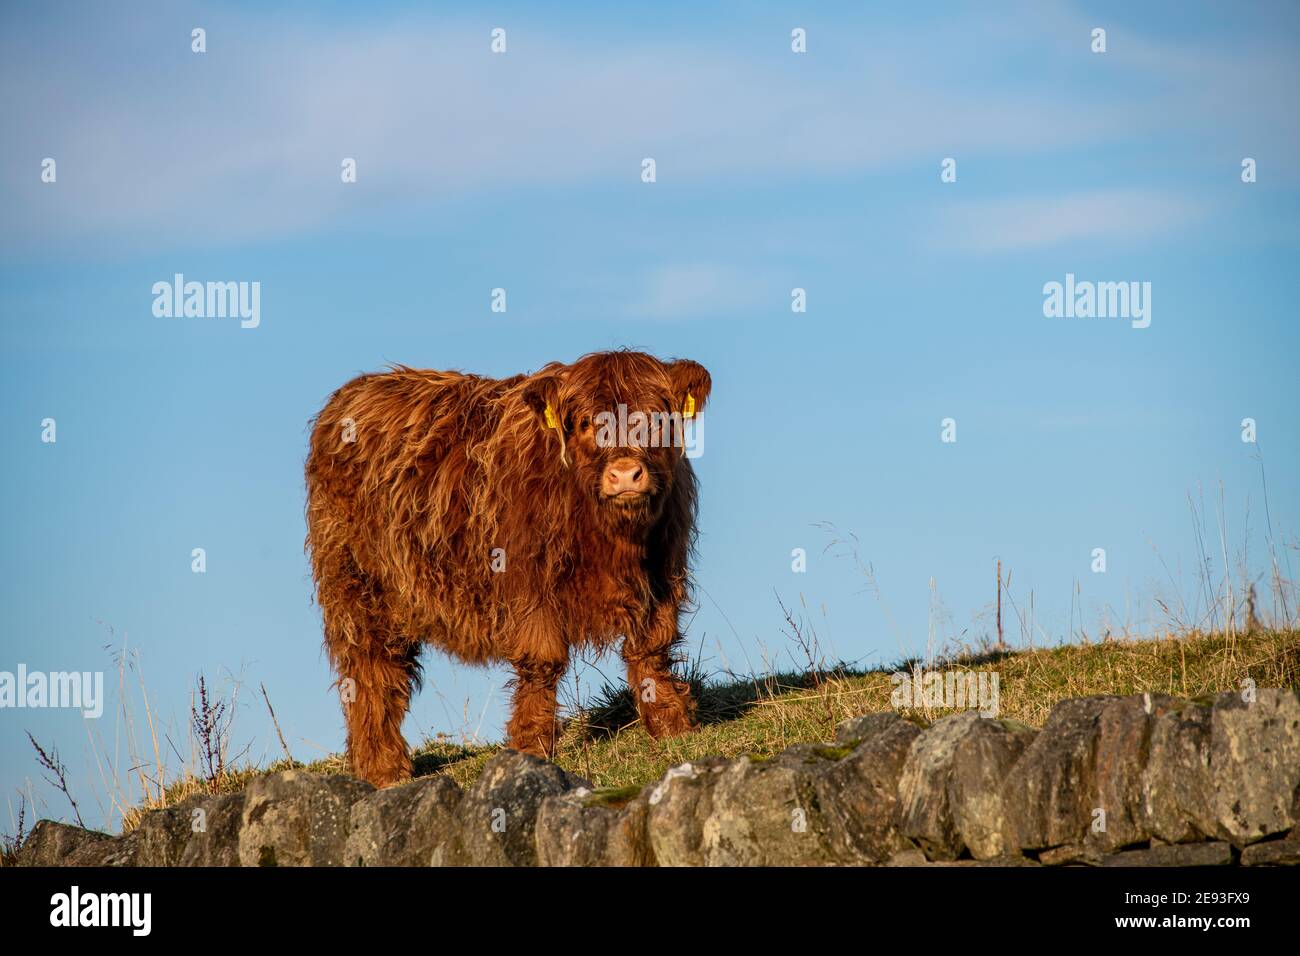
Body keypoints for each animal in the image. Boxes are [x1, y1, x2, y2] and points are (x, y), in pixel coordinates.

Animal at [304, 348, 712, 785]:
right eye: (586, 422)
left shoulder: (665, 573)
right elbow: (542, 662)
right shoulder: (529, 585)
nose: (624, 475)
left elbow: (652, 647)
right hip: (357, 587)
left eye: (657, 419)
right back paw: (384, 771)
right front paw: (531, 746)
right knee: (372, 671)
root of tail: (356, 391)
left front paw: (672, 724)